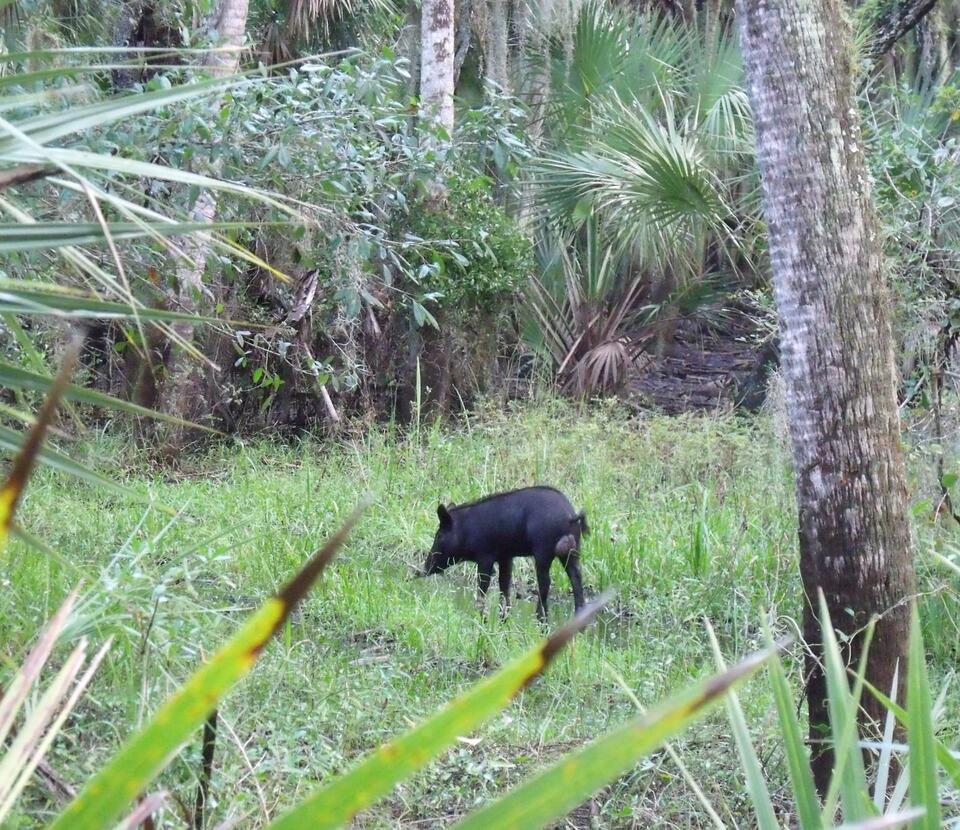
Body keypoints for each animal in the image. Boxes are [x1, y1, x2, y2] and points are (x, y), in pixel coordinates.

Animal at [421, 486, 588, 622]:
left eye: (439, 535)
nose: (424, 569)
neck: (466, 529)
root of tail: (570, 515)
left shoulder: (485, 556)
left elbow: (483, 585)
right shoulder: (506, 556)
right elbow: (504, 584)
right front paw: (504, 617)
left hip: (543, 552)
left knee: (546, 582)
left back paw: (540, 616)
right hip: (573, 552)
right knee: (576, 577)